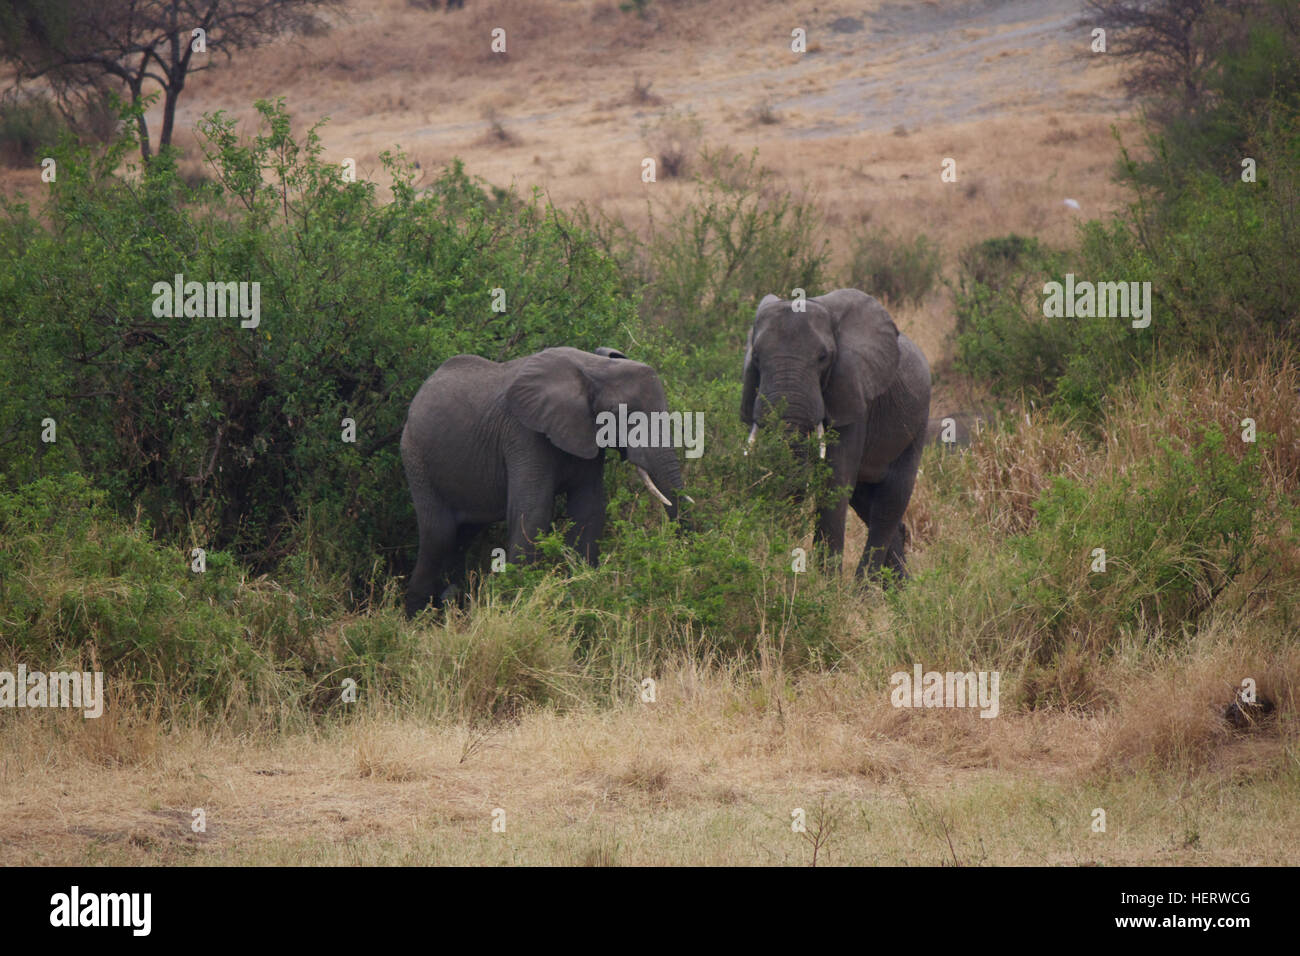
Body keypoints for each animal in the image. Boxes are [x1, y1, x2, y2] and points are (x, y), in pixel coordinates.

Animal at [401, 346, 689, 616]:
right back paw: (417, 620)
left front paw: (582, 590)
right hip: (416, 457)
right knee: (439, 536)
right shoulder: (523, 434)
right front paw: (515, 604)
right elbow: (533, 512)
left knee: (462, 536)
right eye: (623, 415)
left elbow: (589, 510)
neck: (595, 368)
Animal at [741, 289, 931, 582]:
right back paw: (898, 588)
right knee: (867, 504)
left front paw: (825, 586)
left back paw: (864, 588)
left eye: (823, 357)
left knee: (890, 502)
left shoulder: (853, 393)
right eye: (757, 358)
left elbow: (835, 479)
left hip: (917, 424)